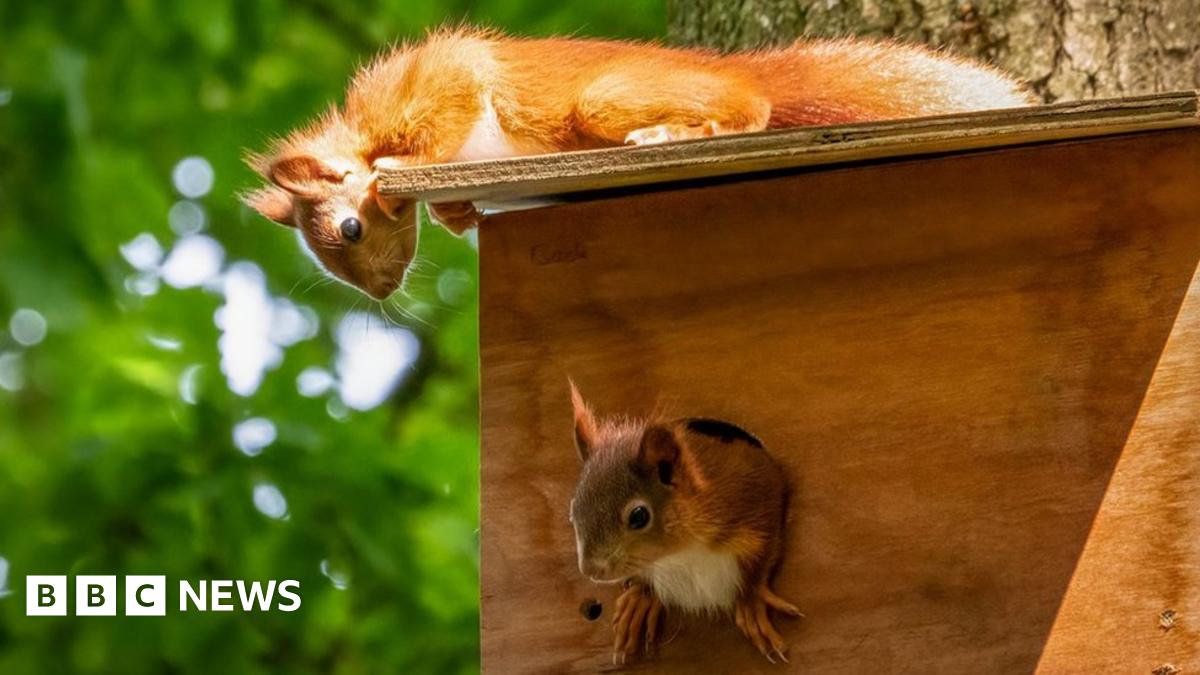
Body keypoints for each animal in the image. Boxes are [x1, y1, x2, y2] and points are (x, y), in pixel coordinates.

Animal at [243, 26, 1035, 299]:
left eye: (350, 230)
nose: (380, 294)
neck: (362, 132)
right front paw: (456, 209)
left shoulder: (439, 82)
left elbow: (440, 122)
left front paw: (396, 177)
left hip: (608, 99)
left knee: (751, 110)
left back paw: (670, 133)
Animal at [567, 383, 800, 664]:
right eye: (572, 510)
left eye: (639, 516)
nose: (591, 569)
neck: (679, 554)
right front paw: (641, 599)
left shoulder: (758, 502)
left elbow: (764, 553)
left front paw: (751, 600)